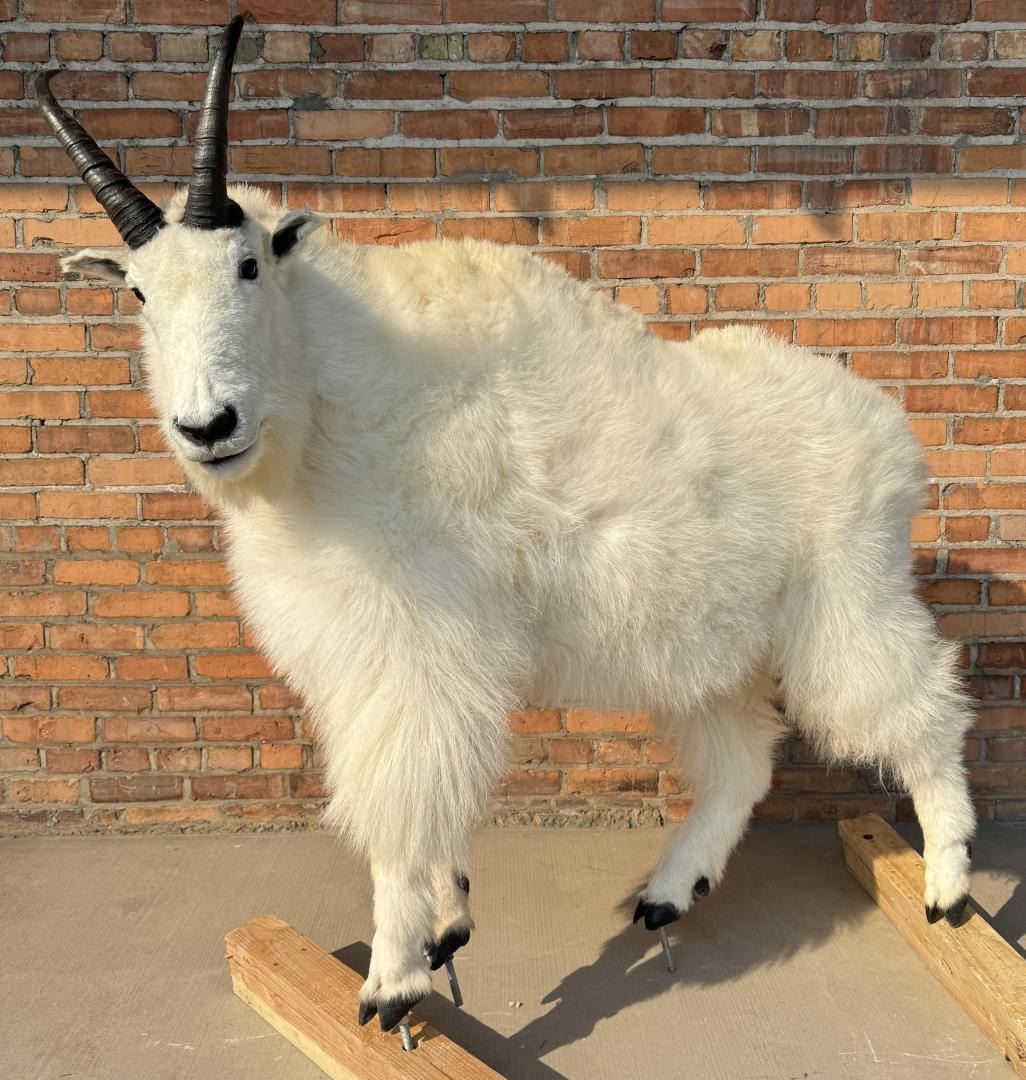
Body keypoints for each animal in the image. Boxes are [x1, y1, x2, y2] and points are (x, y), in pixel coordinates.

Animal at [41, 15, 975, 1037]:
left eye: (248, 265)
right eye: (136, 292)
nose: (208, 426)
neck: (333, 411)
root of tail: (895, 437)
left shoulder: (414, 652)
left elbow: (399, 806)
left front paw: (394, 980)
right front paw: (448, 926)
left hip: (848, 607)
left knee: (921, 709)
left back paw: (948, 888)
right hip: (711, 646)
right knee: (744, 761)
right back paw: (668, 893)